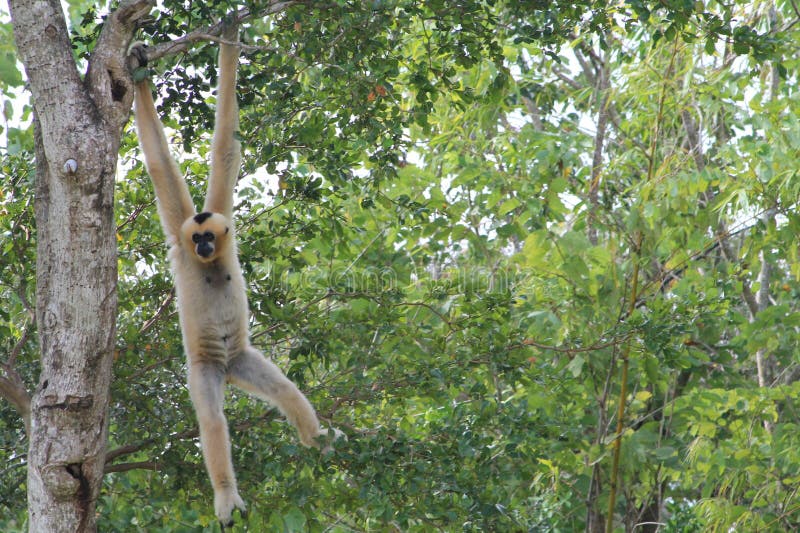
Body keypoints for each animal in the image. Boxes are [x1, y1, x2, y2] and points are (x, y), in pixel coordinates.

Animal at [129, 21, 340, 528]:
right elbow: (160, 164)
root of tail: (225, 367)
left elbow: (226, 145)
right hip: (205, 368)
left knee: (283, 389)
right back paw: (226, 496)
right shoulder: (179, 237)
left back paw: (316, 439)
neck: (206, 263)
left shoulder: (219, 215)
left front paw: (229, 33)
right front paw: (139, 74)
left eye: (211, 238)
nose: (205, 246)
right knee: (212, 422)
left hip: (243, 359)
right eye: (198, 240)